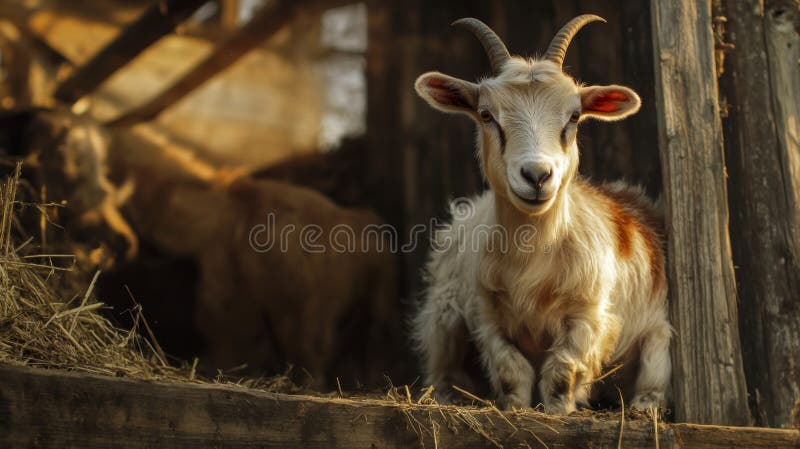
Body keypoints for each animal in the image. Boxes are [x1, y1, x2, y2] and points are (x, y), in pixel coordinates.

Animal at [411, 15, 671, 414]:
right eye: (486, 114)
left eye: (574, 116)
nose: (536, 175)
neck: (532, 258)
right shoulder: (486, 315)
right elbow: (511, 371)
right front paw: (516, 410)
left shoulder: (589, 315)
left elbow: (562, 371)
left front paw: (559, 411)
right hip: (443, 314)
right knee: (442, 368)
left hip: (656, 335)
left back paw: (644, 406)